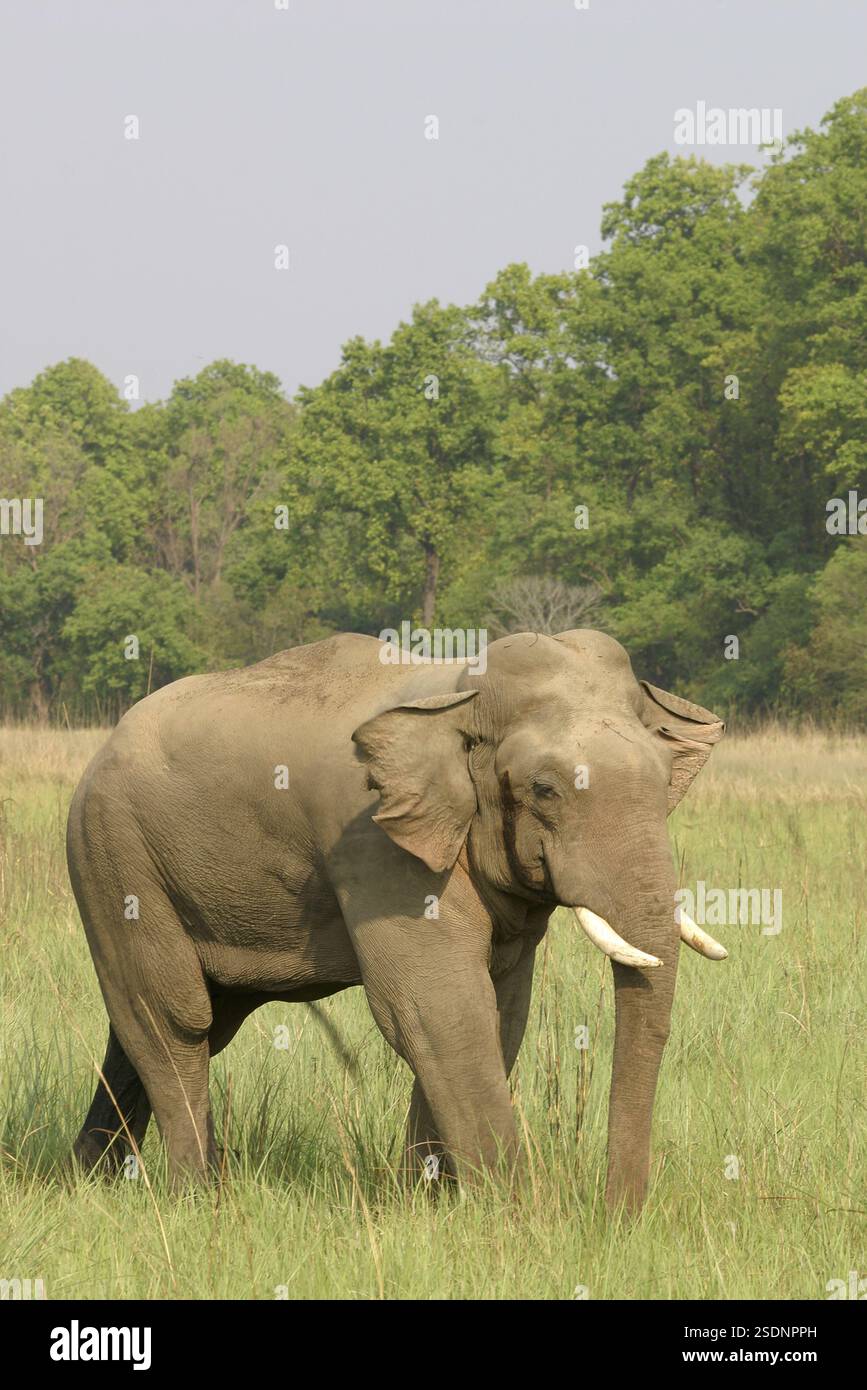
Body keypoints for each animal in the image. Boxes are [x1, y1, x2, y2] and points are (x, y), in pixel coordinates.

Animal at [68, 628, 726, 1211]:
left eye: (665, 778)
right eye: (544, 789)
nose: (616, 1216)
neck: (456, 693)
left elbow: (499, 1011)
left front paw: (426, 1205)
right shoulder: (374, 842)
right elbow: (437, 1007)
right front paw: (516, 1216)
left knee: (166, 1022)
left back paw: (90, 1179)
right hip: (114, 855)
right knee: (173, 1017)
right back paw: (194, 1197)